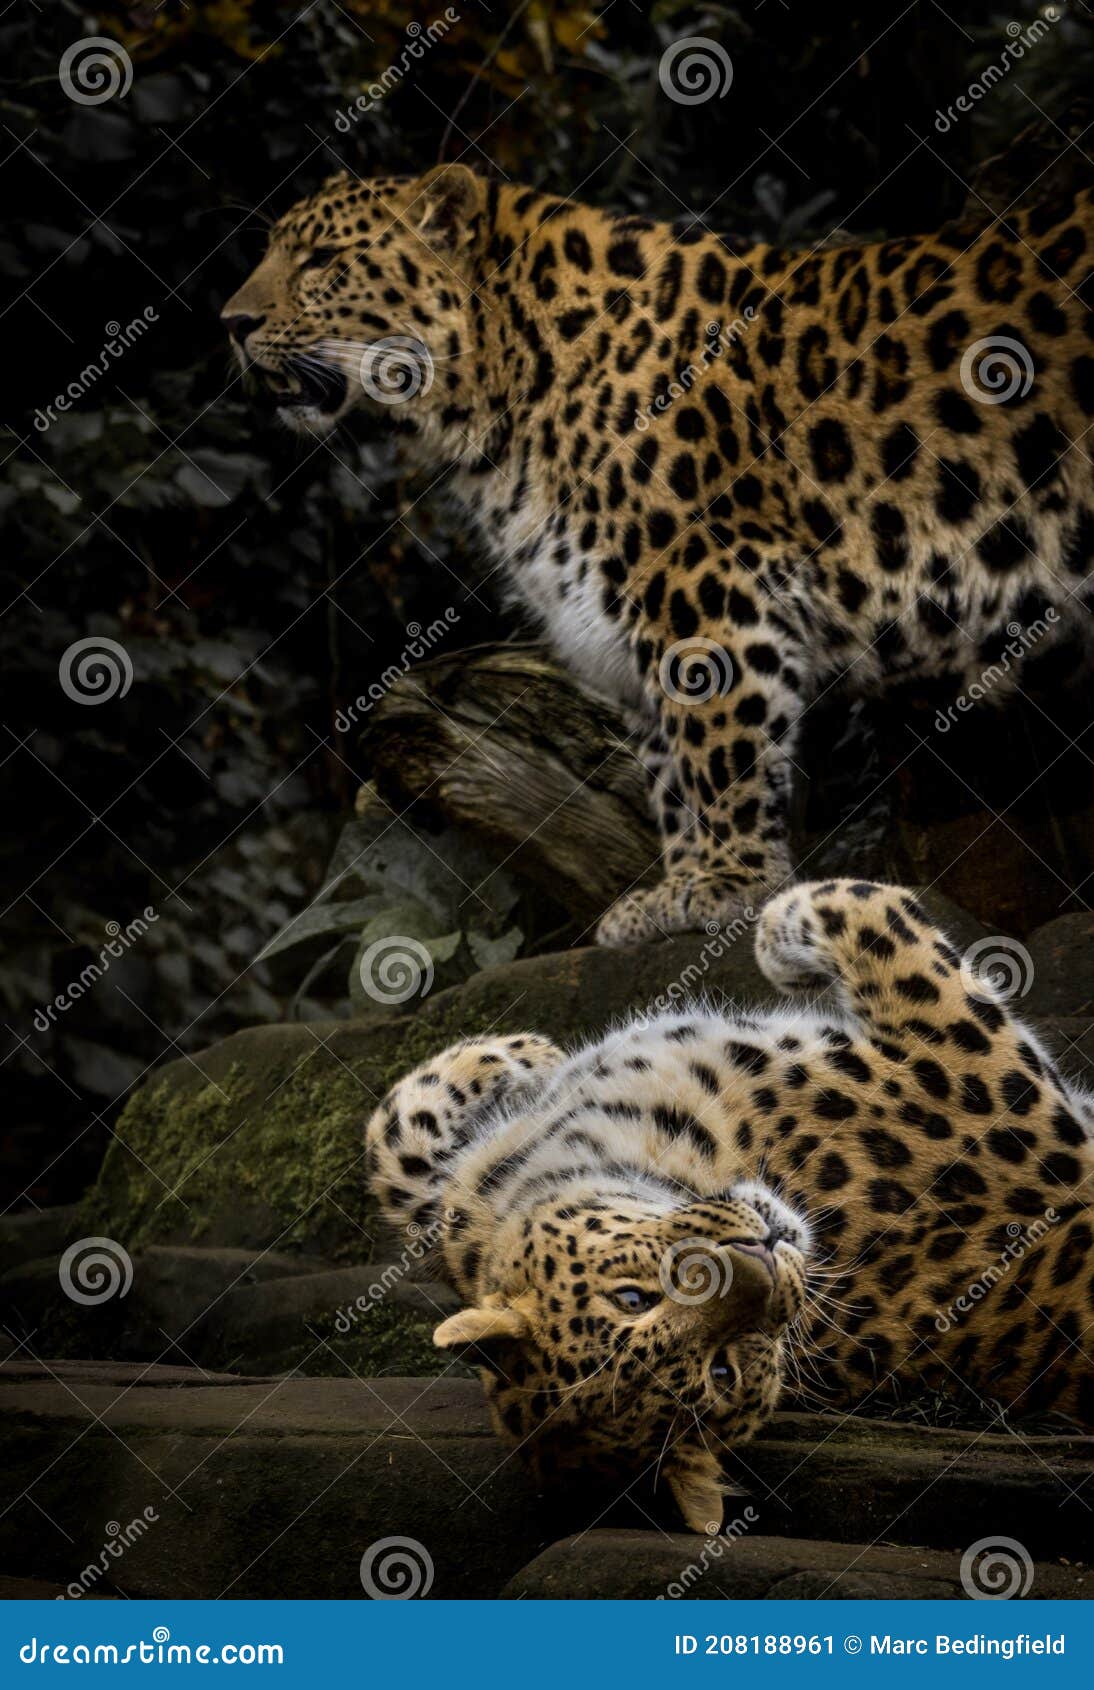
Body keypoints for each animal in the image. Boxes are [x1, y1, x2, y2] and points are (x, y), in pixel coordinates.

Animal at [223, 163, 1094, 946]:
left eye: (322, 261)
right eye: (271, 254)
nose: (230, 322)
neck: (499, 396)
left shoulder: (707, 581)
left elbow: (720, 748)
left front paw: (730, 885)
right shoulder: (620, 614)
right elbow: (669, 770)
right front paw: (674, 890)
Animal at [365, 879, 1094, 1533]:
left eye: (631, 1297)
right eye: (725, 1368)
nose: (761, 1255)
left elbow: (392, 1149)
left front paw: (517, 1056)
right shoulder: (985, 1077)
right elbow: (870, 915)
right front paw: (776, 933)